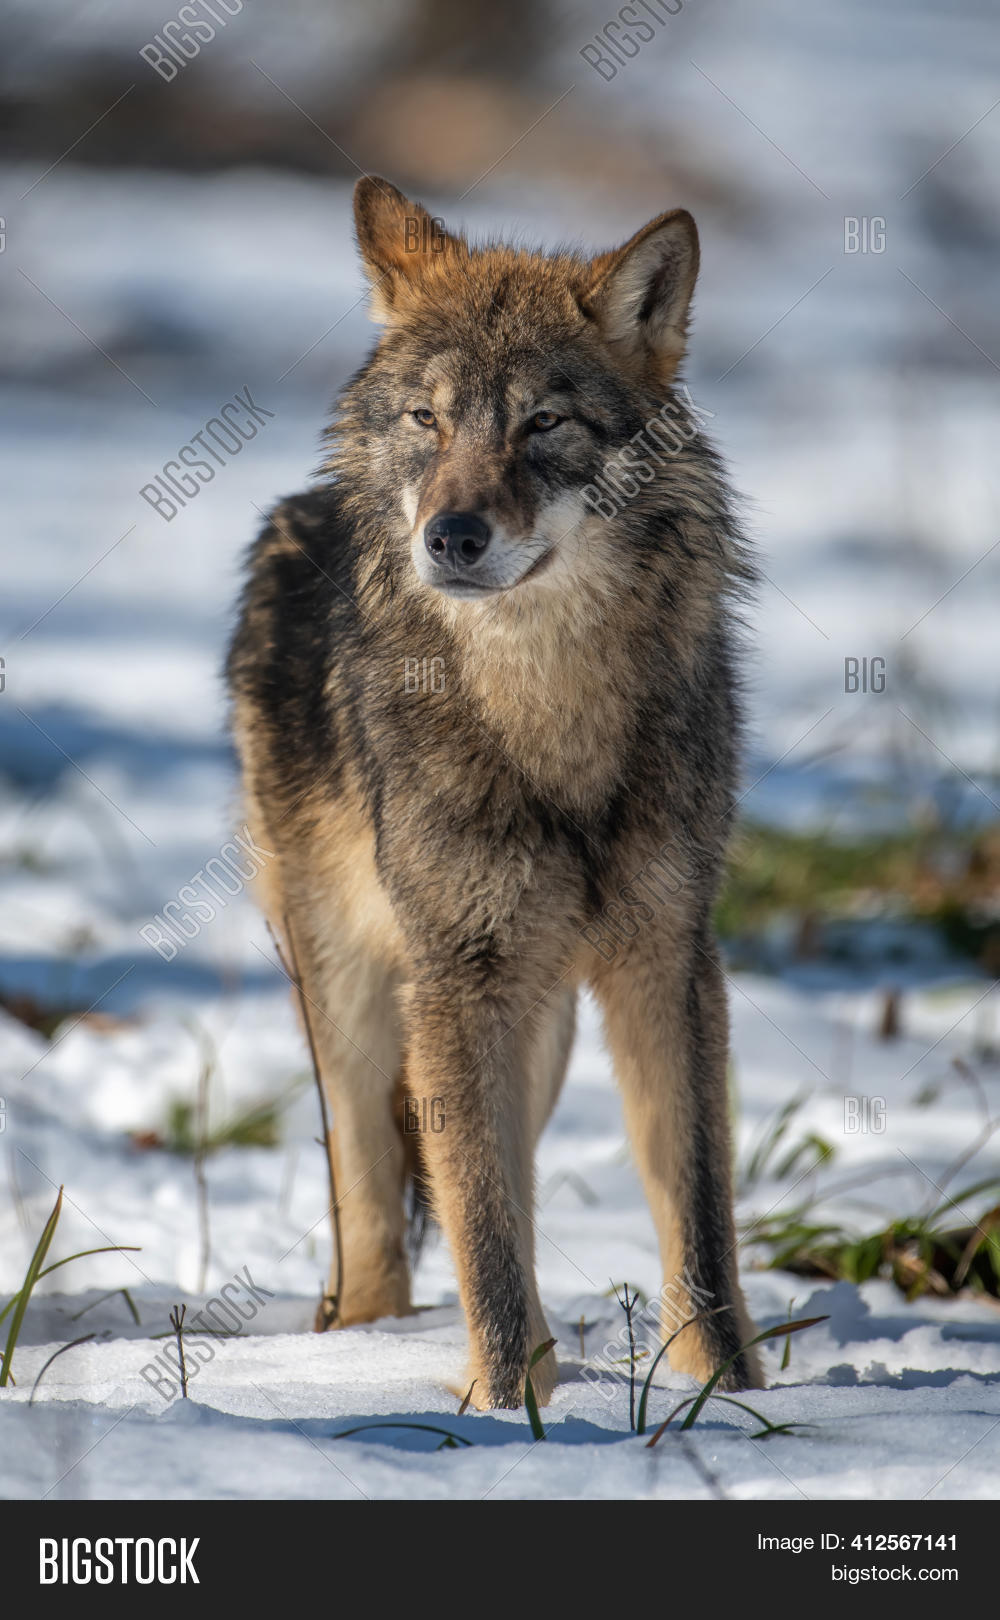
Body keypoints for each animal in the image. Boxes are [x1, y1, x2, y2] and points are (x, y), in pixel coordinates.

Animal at [226, 176, 763, 1408]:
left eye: (542, 424)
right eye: (428, 419)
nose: (453, 536)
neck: (547, 707)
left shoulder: (671, 957)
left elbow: (699, 1218)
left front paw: (729, 1393)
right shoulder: (454, 973)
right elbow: (477, 1218)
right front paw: (505, 1412)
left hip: (542, 1019)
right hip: (360, 1001)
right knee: (379, 1211)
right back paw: (370, 1348)